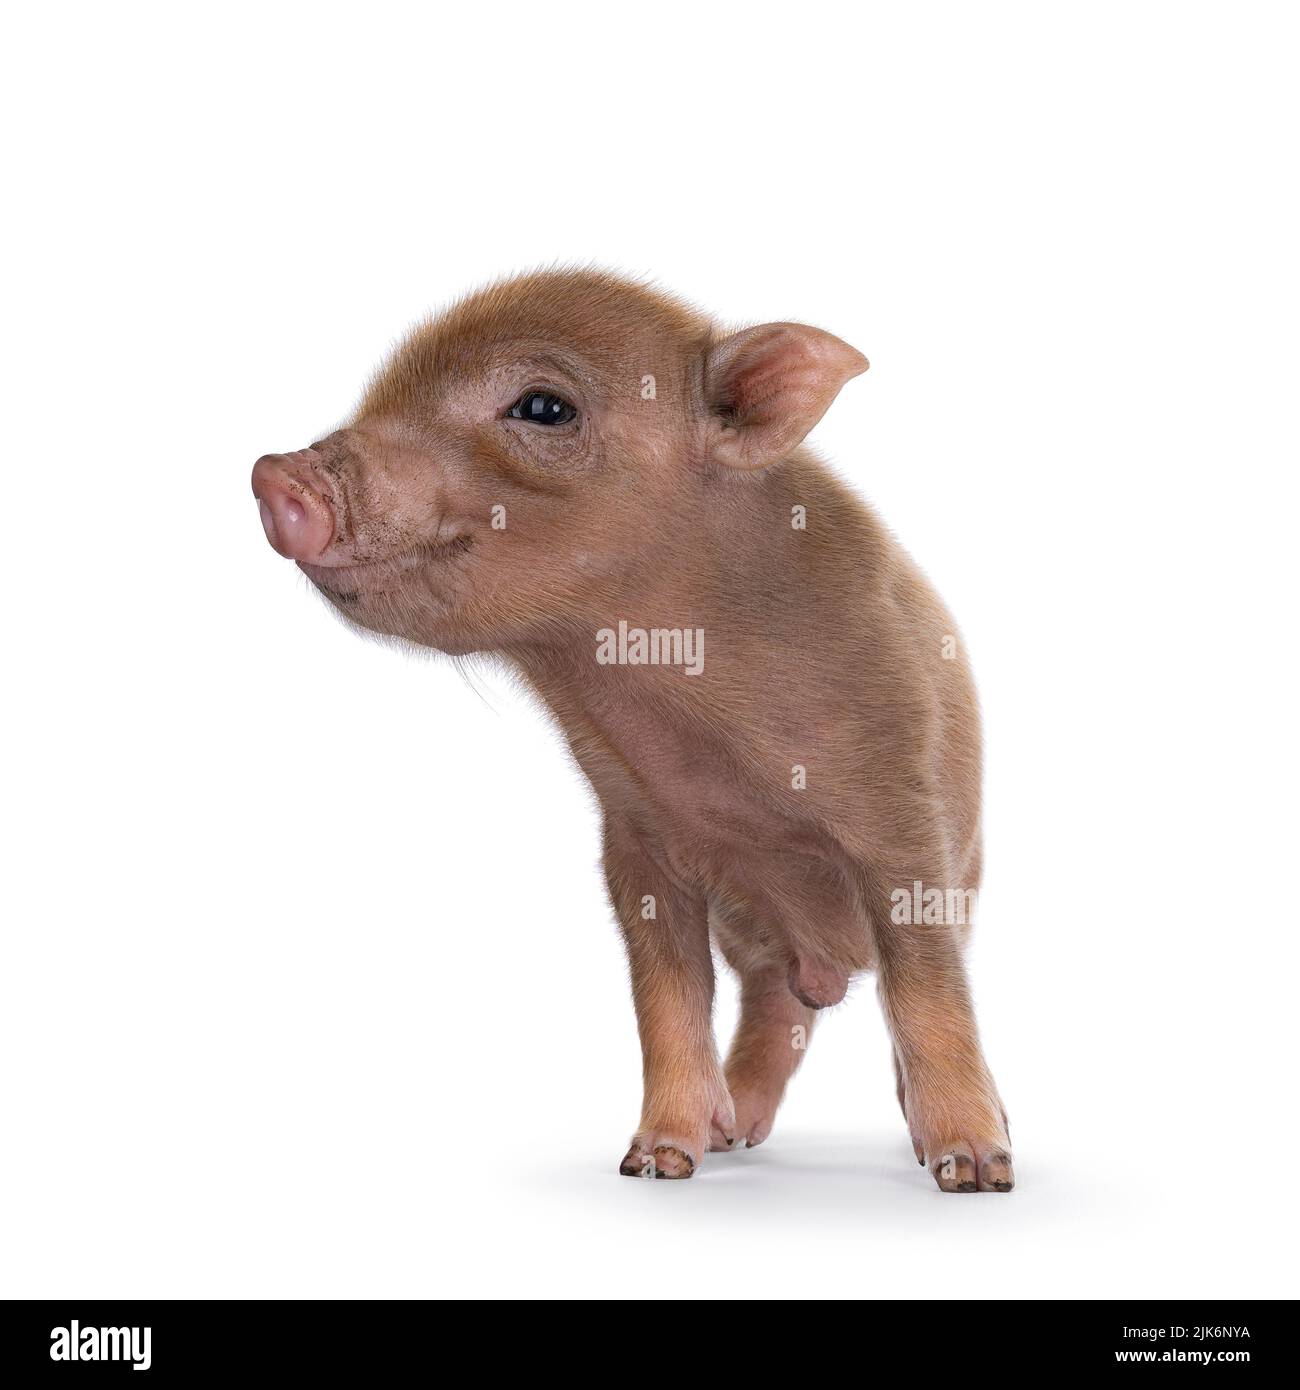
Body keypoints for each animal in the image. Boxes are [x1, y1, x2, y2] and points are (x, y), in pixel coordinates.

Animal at [251, 269, 1013, 1191]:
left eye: (544, 408)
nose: (273, 473)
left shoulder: (901, 811)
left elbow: (928, 988)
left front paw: (977, 1173)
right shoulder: (636, 843)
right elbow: (668, 1001)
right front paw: (655, 1163)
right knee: (776, 1006)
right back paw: (735, 1131)